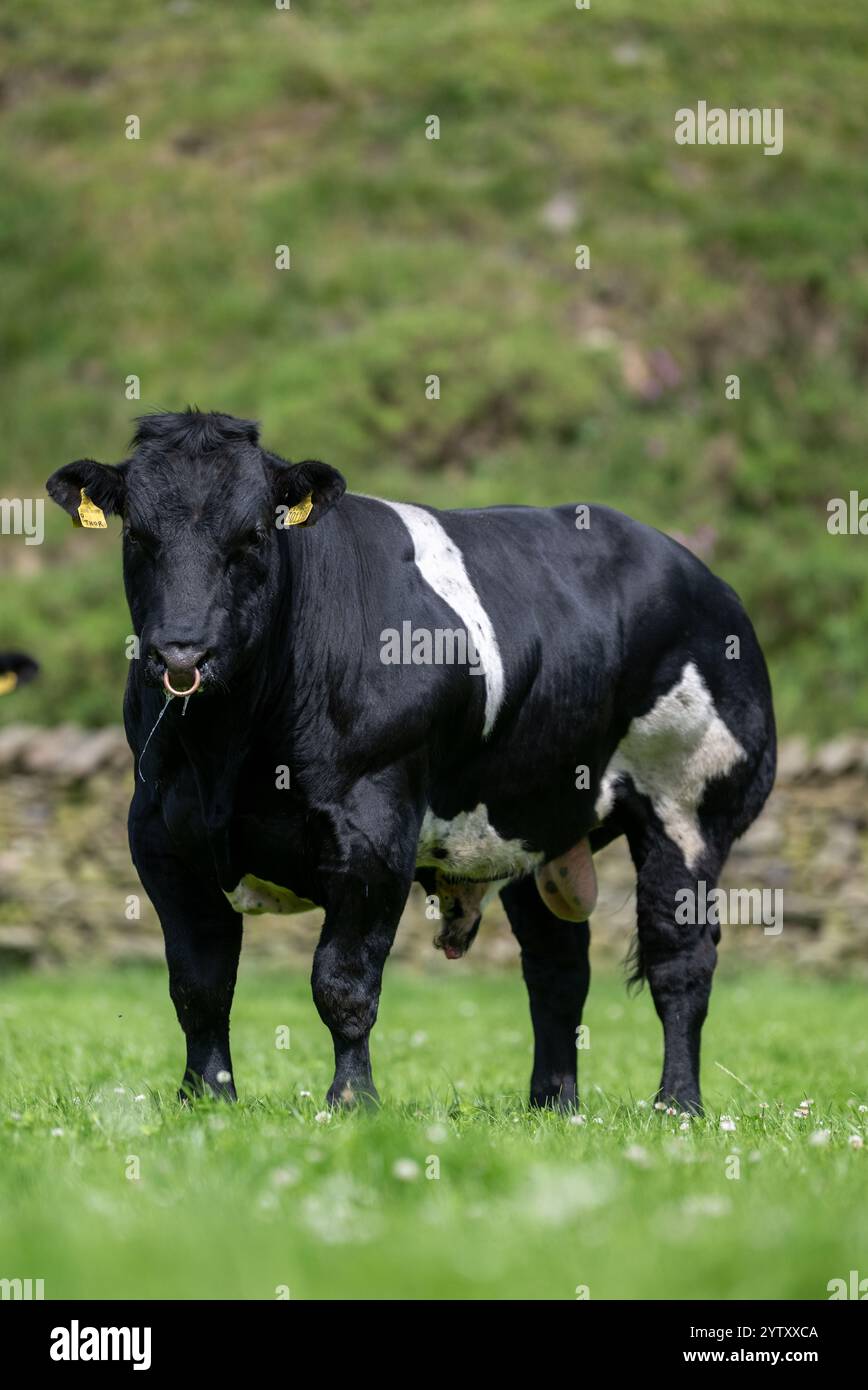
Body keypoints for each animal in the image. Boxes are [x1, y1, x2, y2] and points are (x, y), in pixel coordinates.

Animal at [46, 410, 776, 1113]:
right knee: (558, 969)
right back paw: (552, 1104)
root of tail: (701, 575)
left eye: (252, 535)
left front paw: (351, 1100)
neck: (228, 749)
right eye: (137, 535)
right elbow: (200, 985)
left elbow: (342, 982)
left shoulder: (373, 833)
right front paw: (206, 1098)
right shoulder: (162, 837)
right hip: (533, 821)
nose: (181, 652)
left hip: (688, 805)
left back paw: (677, 1104)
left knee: (679, 961)